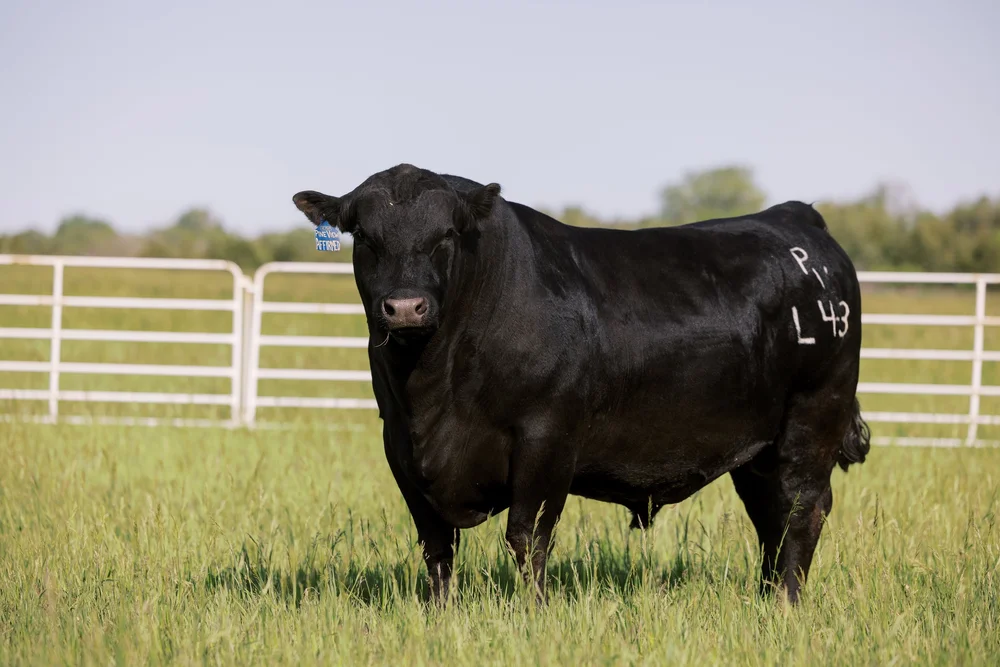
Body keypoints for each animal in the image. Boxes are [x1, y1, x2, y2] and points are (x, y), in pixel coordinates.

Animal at [292, 164, 871, 605]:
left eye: (446, 235)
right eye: (365, 237)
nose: (406, 307)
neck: (435, 391)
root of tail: (793, 217)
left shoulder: (547, 437)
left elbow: (527, 537)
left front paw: (534, 612)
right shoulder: (399, 445)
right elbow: (437, 546)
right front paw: (439, 615)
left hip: (812, 414)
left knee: (799, 509)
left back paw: (785, 603)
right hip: (758, 445)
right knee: (769, 515)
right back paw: (766, 597)